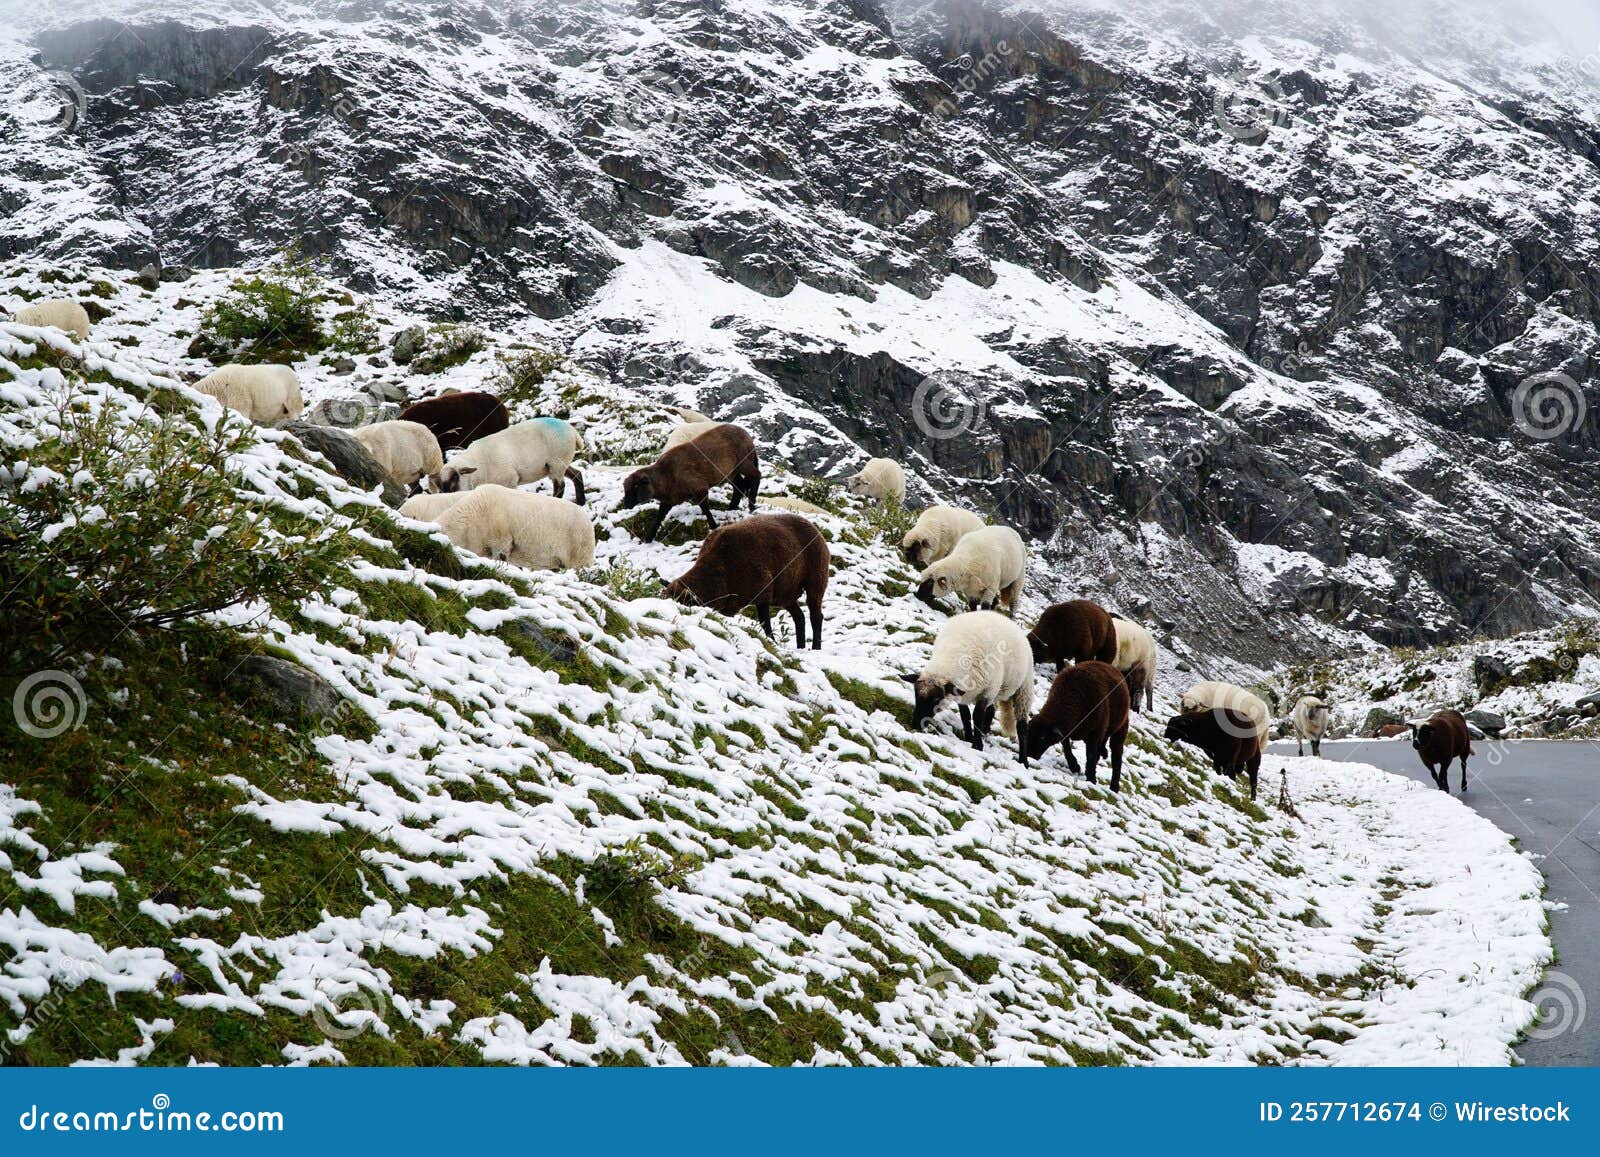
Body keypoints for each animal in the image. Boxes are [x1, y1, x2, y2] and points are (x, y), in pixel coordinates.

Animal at [432, 417, 586, 504]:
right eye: (441, 486)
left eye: (455, 478)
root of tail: (572, 431)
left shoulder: (510, 480)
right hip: (559, 463)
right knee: (577, 474)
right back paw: (581, 502)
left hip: (557, 463)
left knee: (560, 486)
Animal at [621, 422, 760, 542]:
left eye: (636, 486)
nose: (626, 504)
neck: (666, 475)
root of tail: (747, 435)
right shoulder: (669, 499)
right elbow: (658, 518)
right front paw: (649, 538)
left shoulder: (699, 488)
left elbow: (705, 509)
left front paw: (713, 526)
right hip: (731, 472)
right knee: (740, 486)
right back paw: (732, 508)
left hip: (744, 462)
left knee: (756, 476)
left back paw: (751, 505)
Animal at [664, 514, 829, 650]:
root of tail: (815, 529)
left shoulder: (763, 592)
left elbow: (765, 623)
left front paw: (772, 642)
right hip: (786, 592)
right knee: (799, 617)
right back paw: (801, 647)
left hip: (816, 579)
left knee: (816, 616)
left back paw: (816, 647)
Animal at [899, 610, 1033, 757]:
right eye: (916, 695)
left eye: (936, 699)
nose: (916, 724)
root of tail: (1002, 617)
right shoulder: (962, 694)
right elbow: (966, 716)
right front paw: (969, 738)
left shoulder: (987, 692)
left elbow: (977, 716)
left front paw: (977, 746)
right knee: (991, 710)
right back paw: (985, 732)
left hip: (1023, 688)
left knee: (1022, 726)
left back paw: (1023, 759)